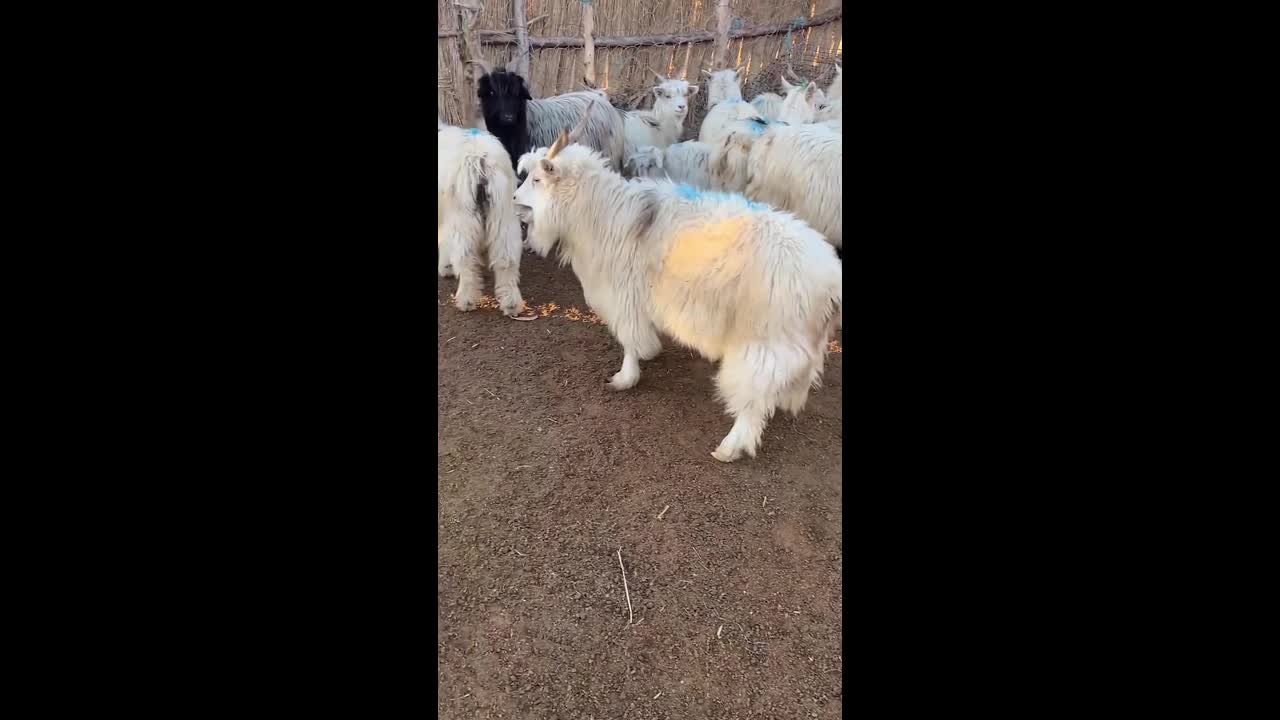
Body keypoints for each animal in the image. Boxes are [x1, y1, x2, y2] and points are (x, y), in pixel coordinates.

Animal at [437, 123, 524, 316]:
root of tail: (479, 160)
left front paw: (445, 267)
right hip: (503, 213)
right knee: (506, 258)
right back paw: (511, 303)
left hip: (463, 217)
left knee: (465, 258)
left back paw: (466, 300)